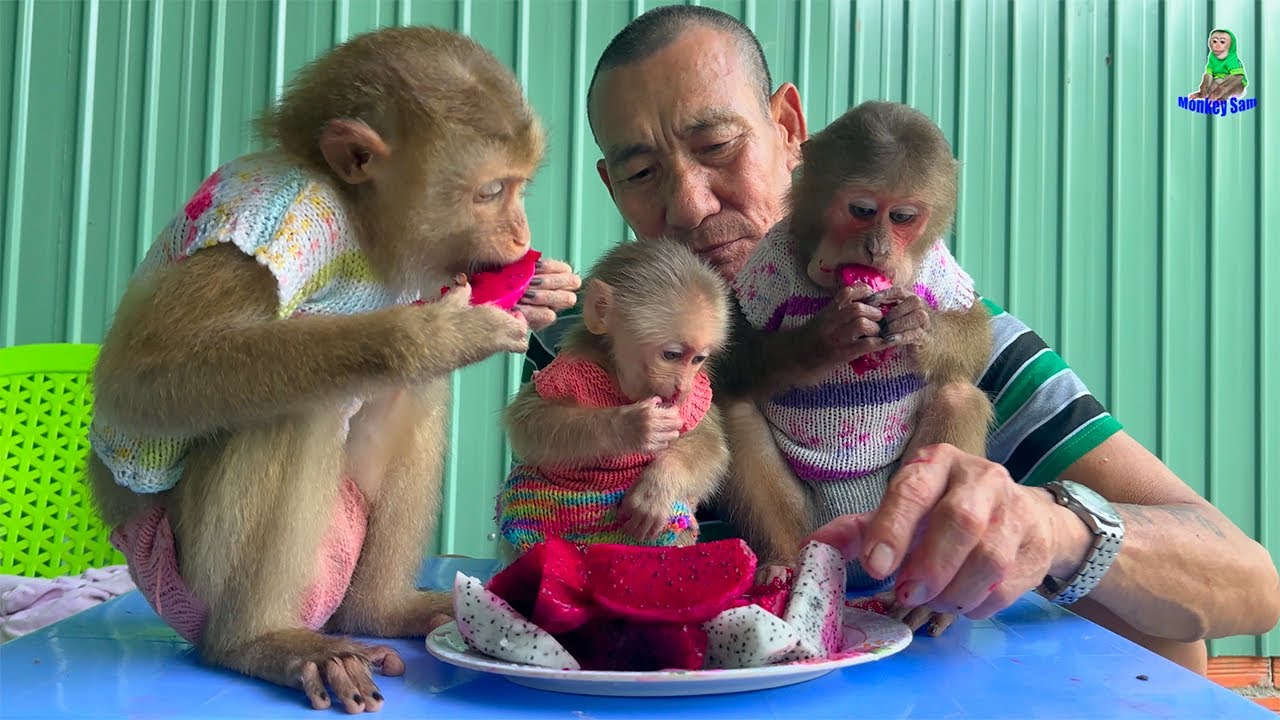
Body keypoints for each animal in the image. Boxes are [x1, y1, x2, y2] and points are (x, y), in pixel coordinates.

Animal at [84, 26, 544, 712]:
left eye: (519, 188)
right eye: (492, 192)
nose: (521, 236)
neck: (357, 220)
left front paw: (547, 291)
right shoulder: (270, 219)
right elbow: (138, 376)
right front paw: (426, 338)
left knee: (408, 399)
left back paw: (379, 611)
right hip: (178, 573)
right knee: (299, 404)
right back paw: (258, 641)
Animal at [496, 238, 733, 563]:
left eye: (698, 359)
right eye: (671, 355)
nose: (681, 387)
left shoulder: (697, 394)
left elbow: (710, 445)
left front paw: (659, 484)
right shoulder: (567, 368)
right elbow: (529, 423)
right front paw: (633, 425)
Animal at [711, 100, 995, 636]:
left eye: (902, 217)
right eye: (862, 210)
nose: (877, 249)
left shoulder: (936, 266)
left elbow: (973, 331)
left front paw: (920, 323)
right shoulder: (764, 264)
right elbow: (732, 359)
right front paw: (824, 338)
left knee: (957, 394)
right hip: (815, 525)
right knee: (734, 411)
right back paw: (783, 560)